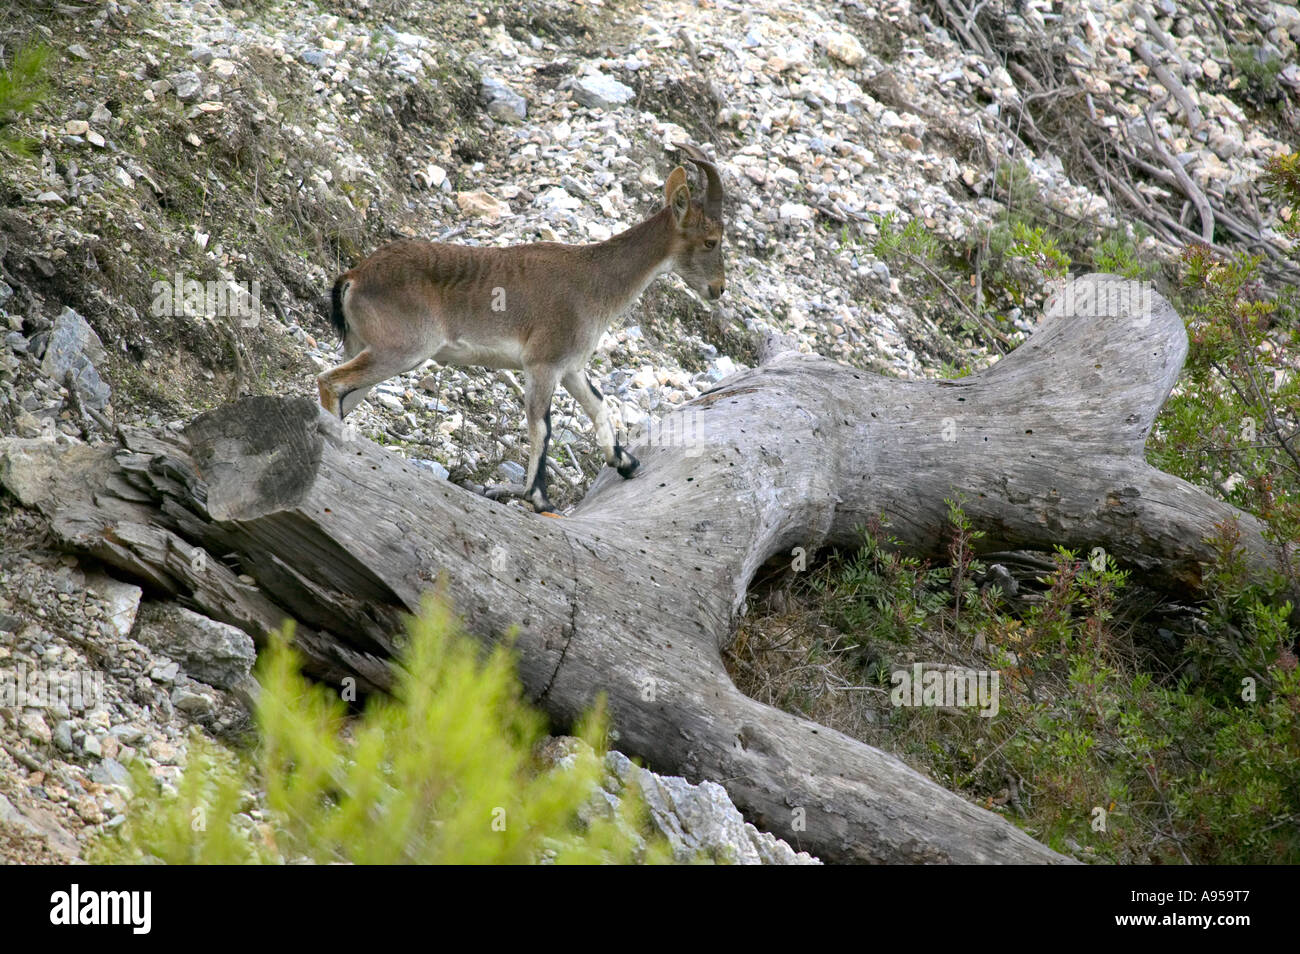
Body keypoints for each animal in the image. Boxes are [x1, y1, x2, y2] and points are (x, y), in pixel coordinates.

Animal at [318, 142, 726, 514]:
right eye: (712, 240)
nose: (719, 289)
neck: (594, 279)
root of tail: (355, 276)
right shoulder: (543, 363)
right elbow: (541, 425)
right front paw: (539, 498)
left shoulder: (570, 367)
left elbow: (598, 405)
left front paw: (625, 462)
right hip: (401, 350)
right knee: (330, 382)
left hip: (366, 348)